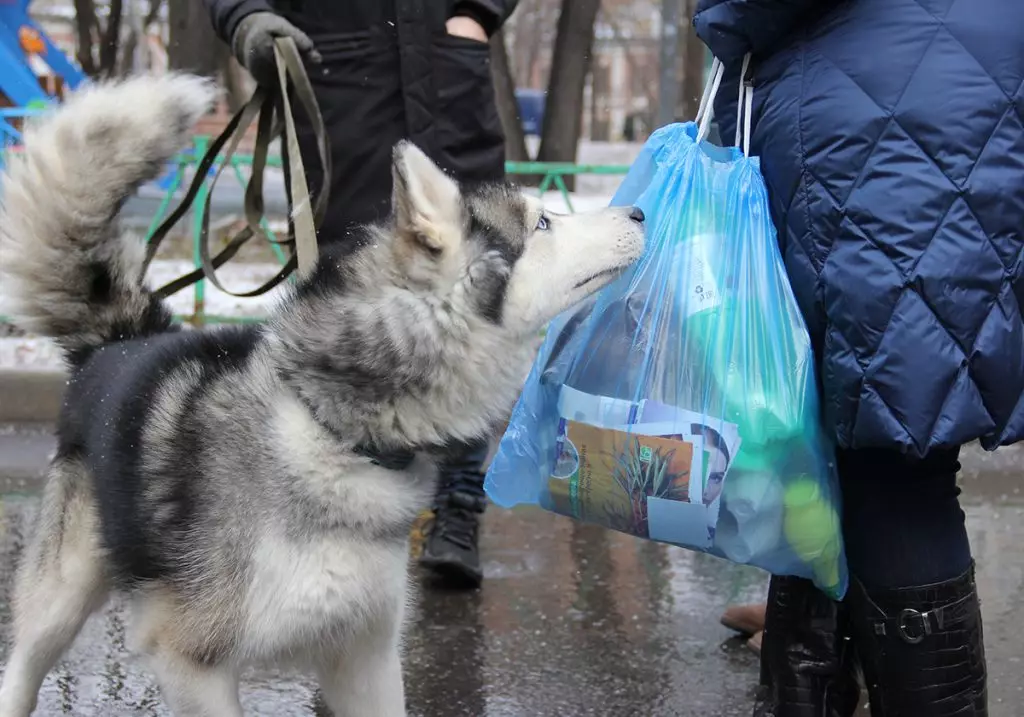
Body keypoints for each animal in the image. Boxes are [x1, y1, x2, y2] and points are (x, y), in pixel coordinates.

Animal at [0, 75, 643, 712]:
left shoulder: (366, 656)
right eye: (542, 224)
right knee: (22, 669)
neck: (336, 432)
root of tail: (125, 337)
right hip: (62, 597)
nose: (638, 211)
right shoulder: (192, 661)